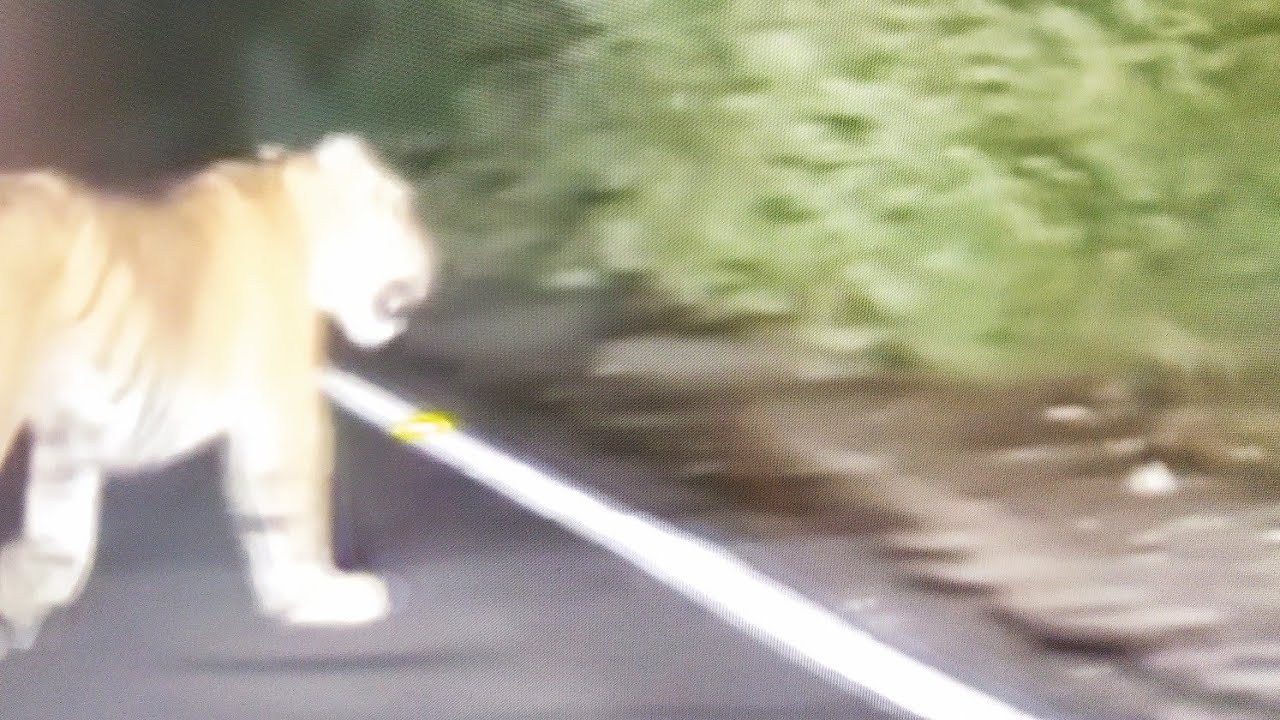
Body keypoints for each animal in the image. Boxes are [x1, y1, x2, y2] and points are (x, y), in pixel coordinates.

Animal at [0, 133, 434, 656]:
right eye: (401, 208)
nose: (434, 266)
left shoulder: (69, 433)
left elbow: (58, 530)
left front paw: (20, 593)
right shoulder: (286, 411)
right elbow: (295, 511)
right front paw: (319, 595)